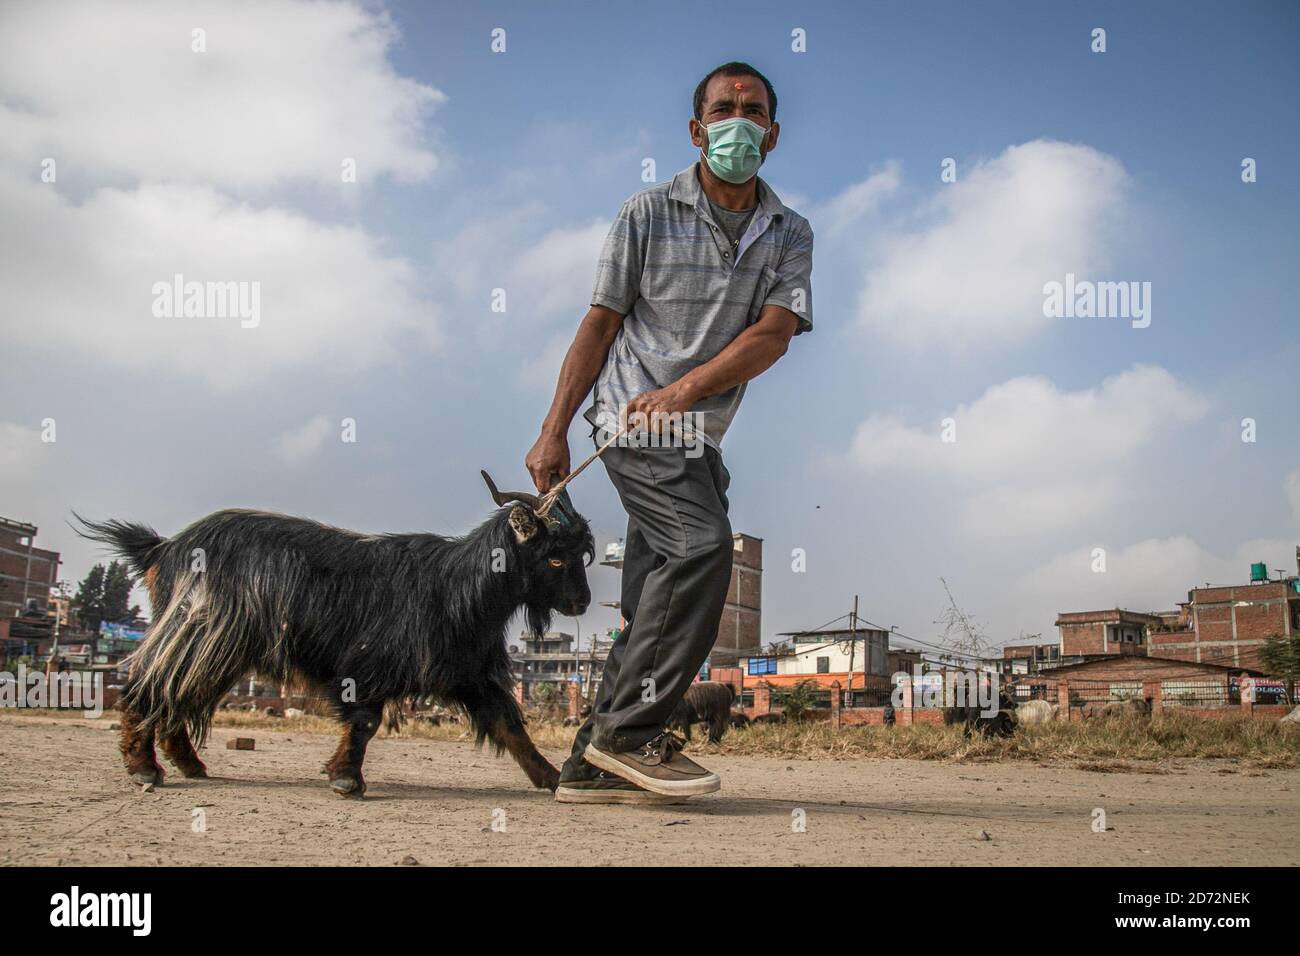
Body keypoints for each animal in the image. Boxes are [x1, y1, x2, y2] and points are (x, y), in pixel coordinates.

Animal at [75, 473, 592, 797]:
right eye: (555, 558)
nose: (582, 603)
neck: (459, 587)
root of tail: (164, 547)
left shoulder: (470, 674)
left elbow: (510, 725)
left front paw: (552, 778)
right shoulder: (368, 666)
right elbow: (364, 721)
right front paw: (346, 778)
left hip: (221, 645)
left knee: (179, 693)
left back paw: (188, 763)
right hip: (202, 629)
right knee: (148, 685)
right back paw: (144, 767)